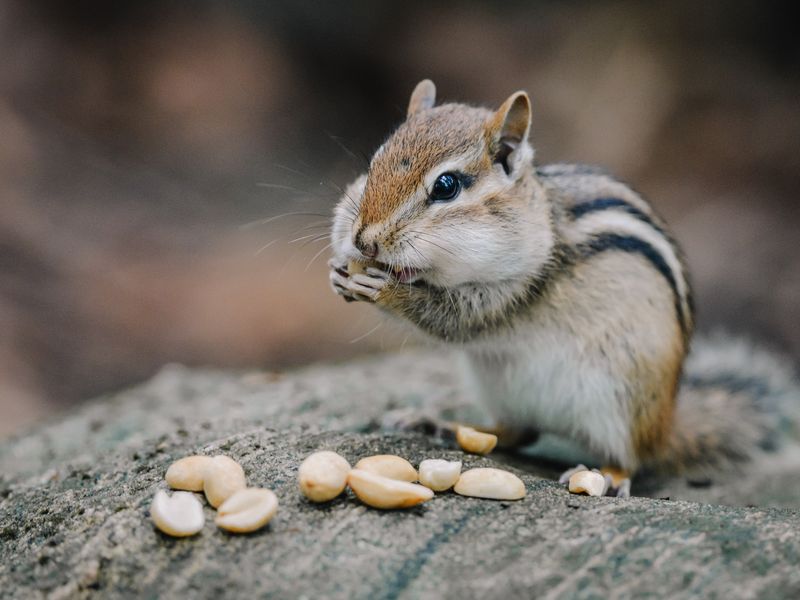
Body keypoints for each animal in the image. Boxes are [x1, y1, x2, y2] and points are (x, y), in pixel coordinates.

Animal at [327, 79, 798, 496]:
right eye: (373, 164)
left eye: (446, 186)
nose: (364, 241)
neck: (539, 221)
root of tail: (665, 427)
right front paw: (338, 271)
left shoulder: (517, 286)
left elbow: (458, 318)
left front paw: (385, 289)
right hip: (497, 384)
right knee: (516, 432)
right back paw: (441, 425)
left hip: (618, 397)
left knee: (631, 458)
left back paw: (607, 475)